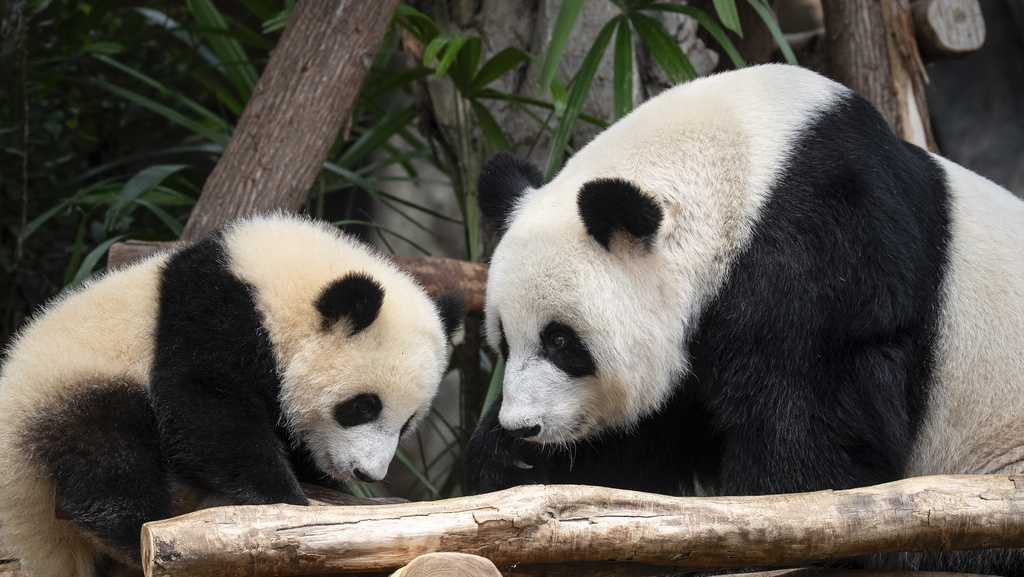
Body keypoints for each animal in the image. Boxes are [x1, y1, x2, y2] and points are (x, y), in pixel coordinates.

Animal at [0, 214, 462, 577]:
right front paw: (286, 502)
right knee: (107, 459)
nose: (367, 474)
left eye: (407, 424)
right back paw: (143, 528)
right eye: (362, 406)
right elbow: (205, 411)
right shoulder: (211, 317)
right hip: (75, 387)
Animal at [466, 64, 1024, 574]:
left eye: (562, 342)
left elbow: (811, 430)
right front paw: (508, 461)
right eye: (504, 342)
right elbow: (650, 436)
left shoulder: (830, 249)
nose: (524, 426)